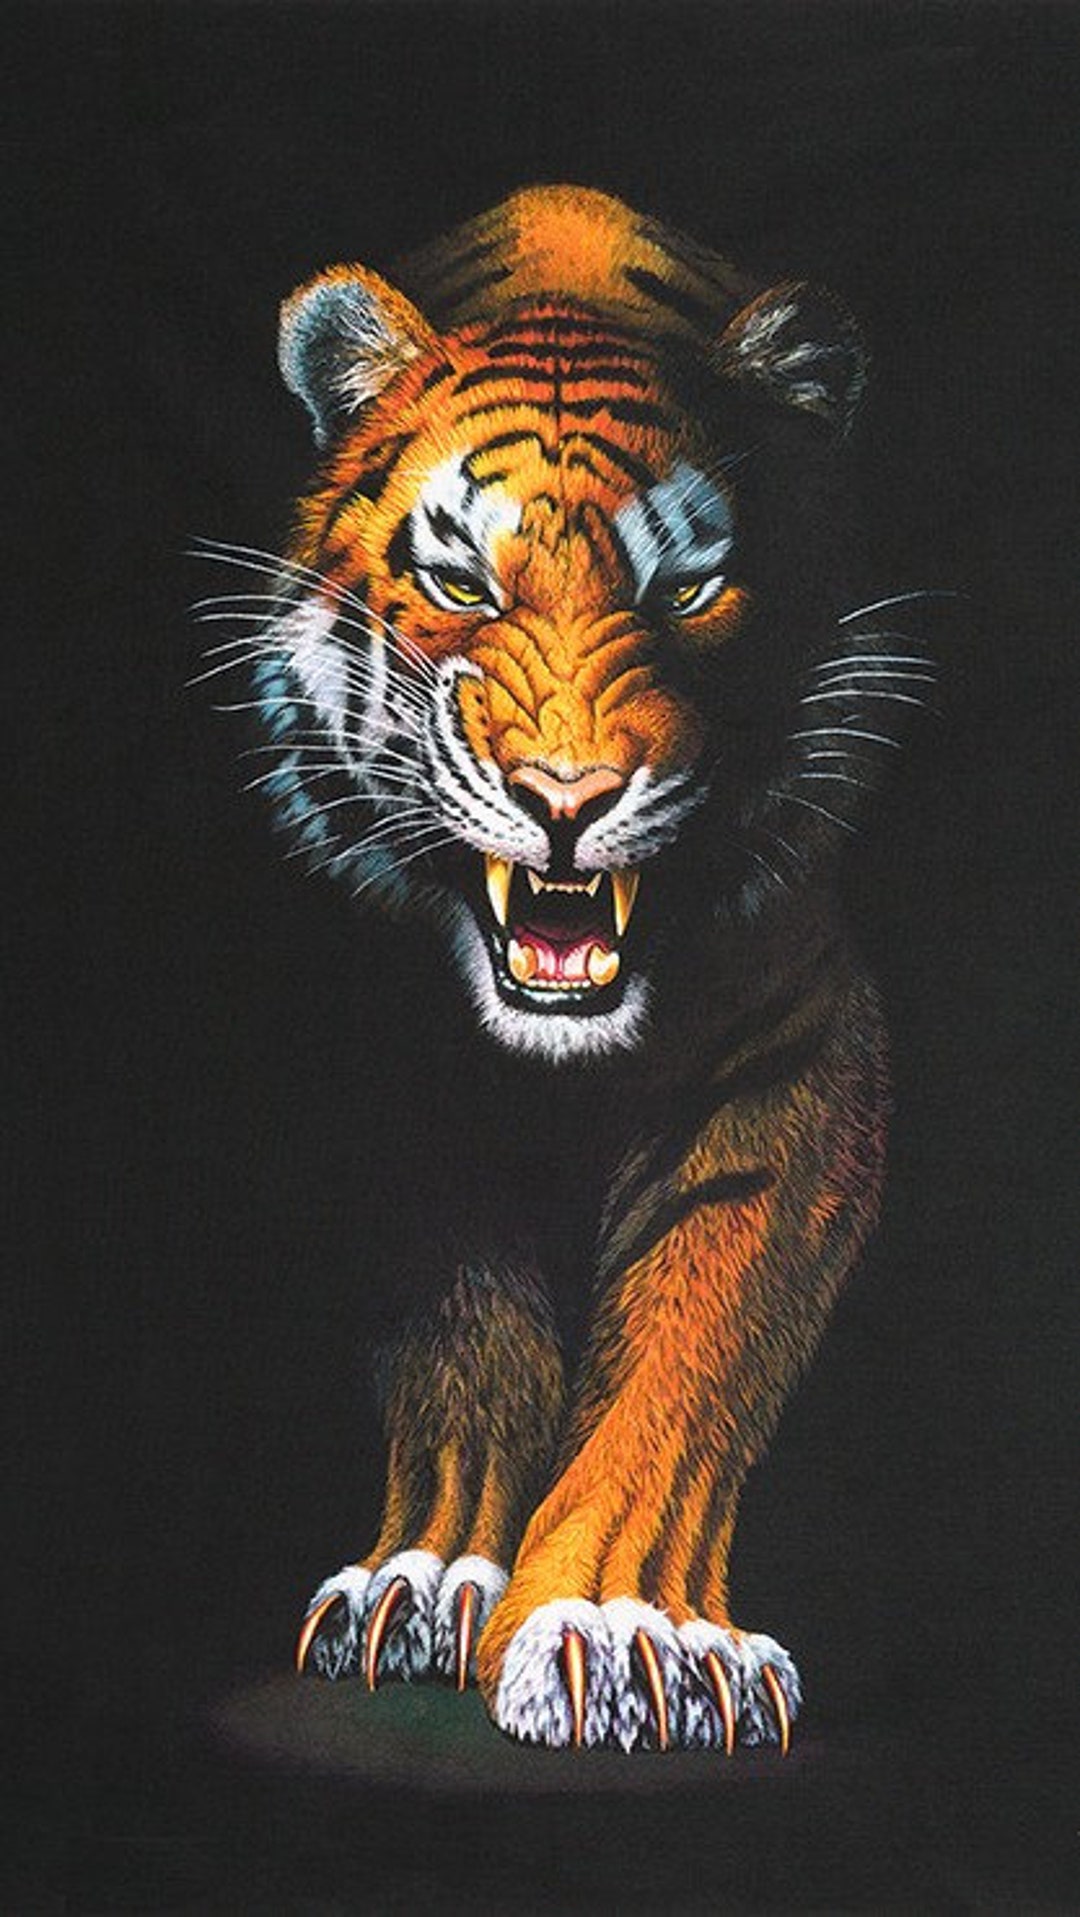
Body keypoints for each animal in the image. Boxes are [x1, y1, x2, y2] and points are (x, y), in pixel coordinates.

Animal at [202, 185, 932, 1752]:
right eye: (461, 577)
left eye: (690, 588)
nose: (567, 796)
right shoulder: (389, 1080)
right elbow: (464, 1342)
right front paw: (429, 1579)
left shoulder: (800, 1057)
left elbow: (689, 1365)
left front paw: (629, 1630)